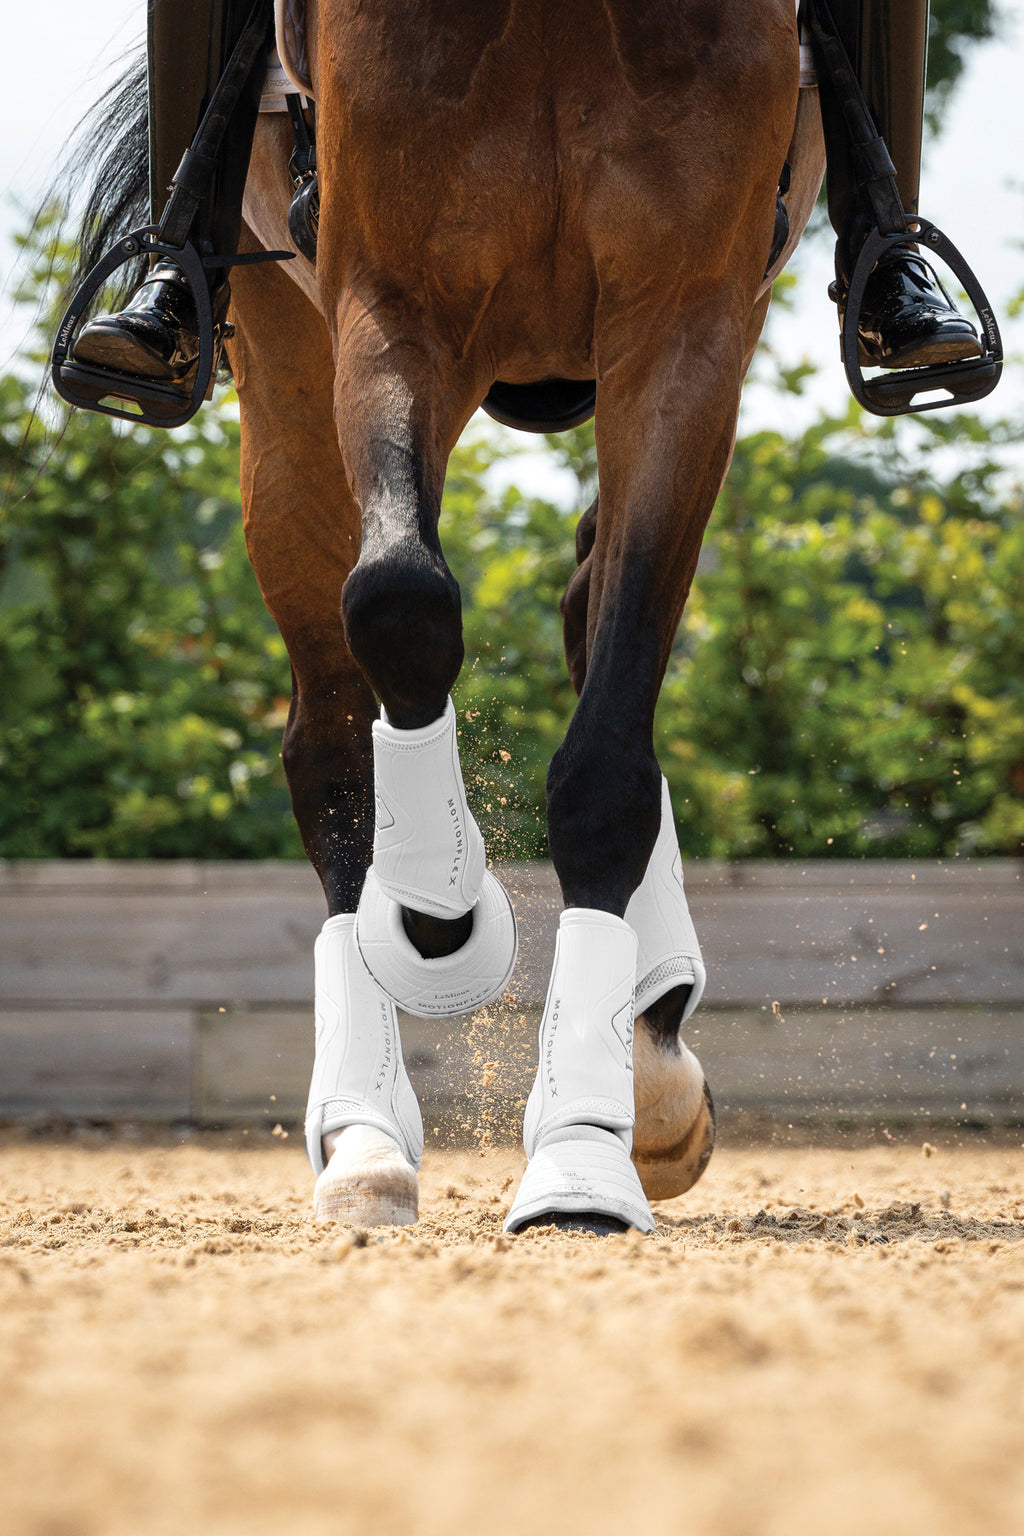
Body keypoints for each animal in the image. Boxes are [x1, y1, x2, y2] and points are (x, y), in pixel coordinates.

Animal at [67, 1, 825, 1233]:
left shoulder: (686, 324)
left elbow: (608, 753)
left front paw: (586, 1149)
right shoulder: (393, 305)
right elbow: (401, 602)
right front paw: (440, 921)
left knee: (588, 616)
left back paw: (649, 1055)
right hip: (286, 373)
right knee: (328, 738)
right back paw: (364, 1136)